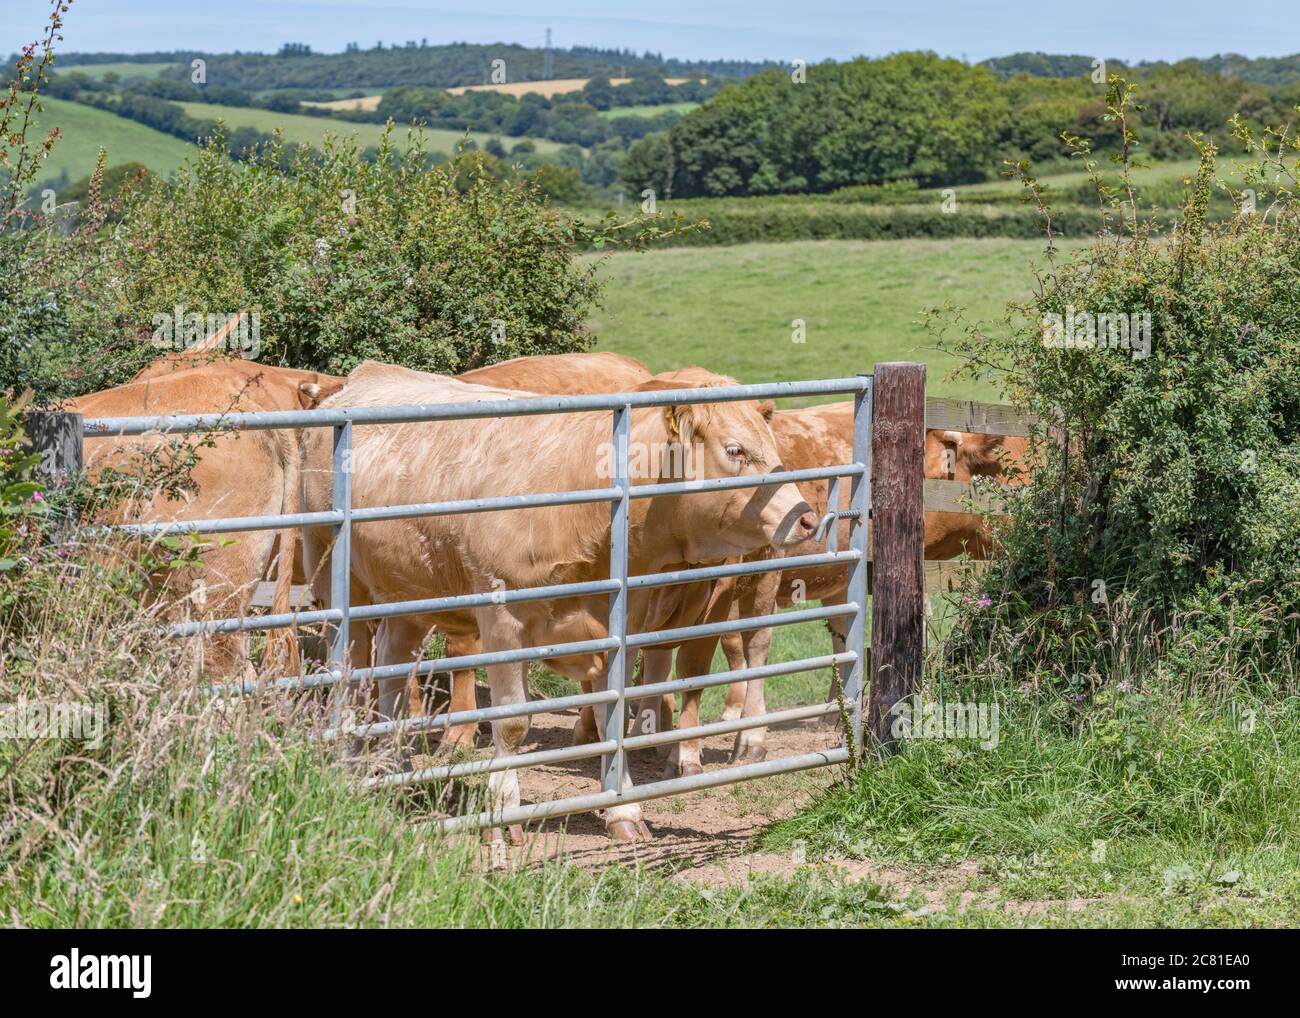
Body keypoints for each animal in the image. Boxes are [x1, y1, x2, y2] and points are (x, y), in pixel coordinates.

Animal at [298, 360, 817, 842]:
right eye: (735, 450)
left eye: (772, 447)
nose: (808, 517)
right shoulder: (503, 620)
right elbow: (511, 721)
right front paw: (504, 811)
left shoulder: (615, 623)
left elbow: (612, 717)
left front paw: (624, 811)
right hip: (337, 583)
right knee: (351, 676)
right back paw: (353, 768)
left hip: (408, 594)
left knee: (392, 667)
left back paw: (395, 768)